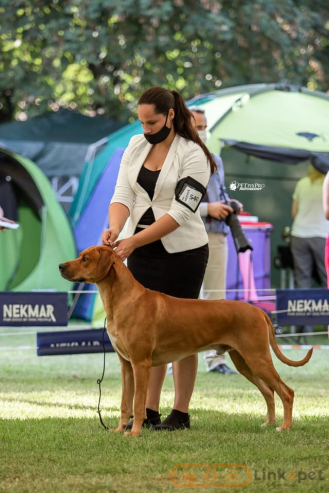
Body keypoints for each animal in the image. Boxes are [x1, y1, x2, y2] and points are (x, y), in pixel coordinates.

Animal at [57, 245, 312, 434]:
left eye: (85, 258)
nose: (60, 265)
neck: (123, 300)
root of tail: (259, 311)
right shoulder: (126, 365)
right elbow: (124, 403)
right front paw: (120, 430)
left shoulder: (140, 364)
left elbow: (138, 404)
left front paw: (135, 432)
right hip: (244, 361)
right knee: (268, 391)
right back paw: (268, 423)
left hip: (257, 357)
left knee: (286, 391)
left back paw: (285, 426)